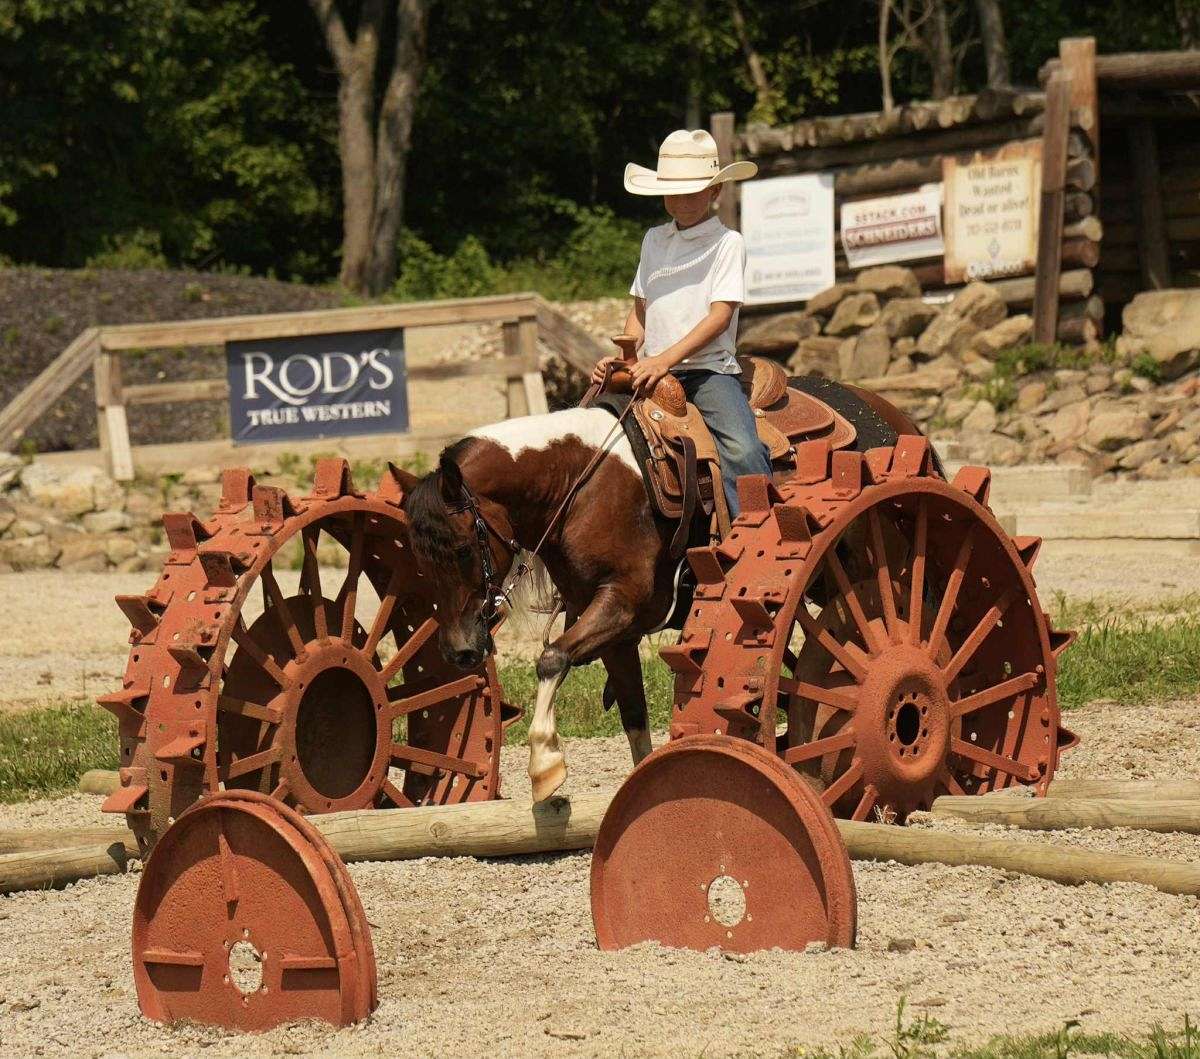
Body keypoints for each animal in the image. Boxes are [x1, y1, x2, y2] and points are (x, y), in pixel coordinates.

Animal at [395, 380, 931, 802]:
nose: (460, 651)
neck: (580, 482)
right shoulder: (613, 628)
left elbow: (551, 658)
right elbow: (631, 710)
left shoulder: (621, 602)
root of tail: (891, 417)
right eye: (419, 558)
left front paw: (545, 765)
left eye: (463, 549)